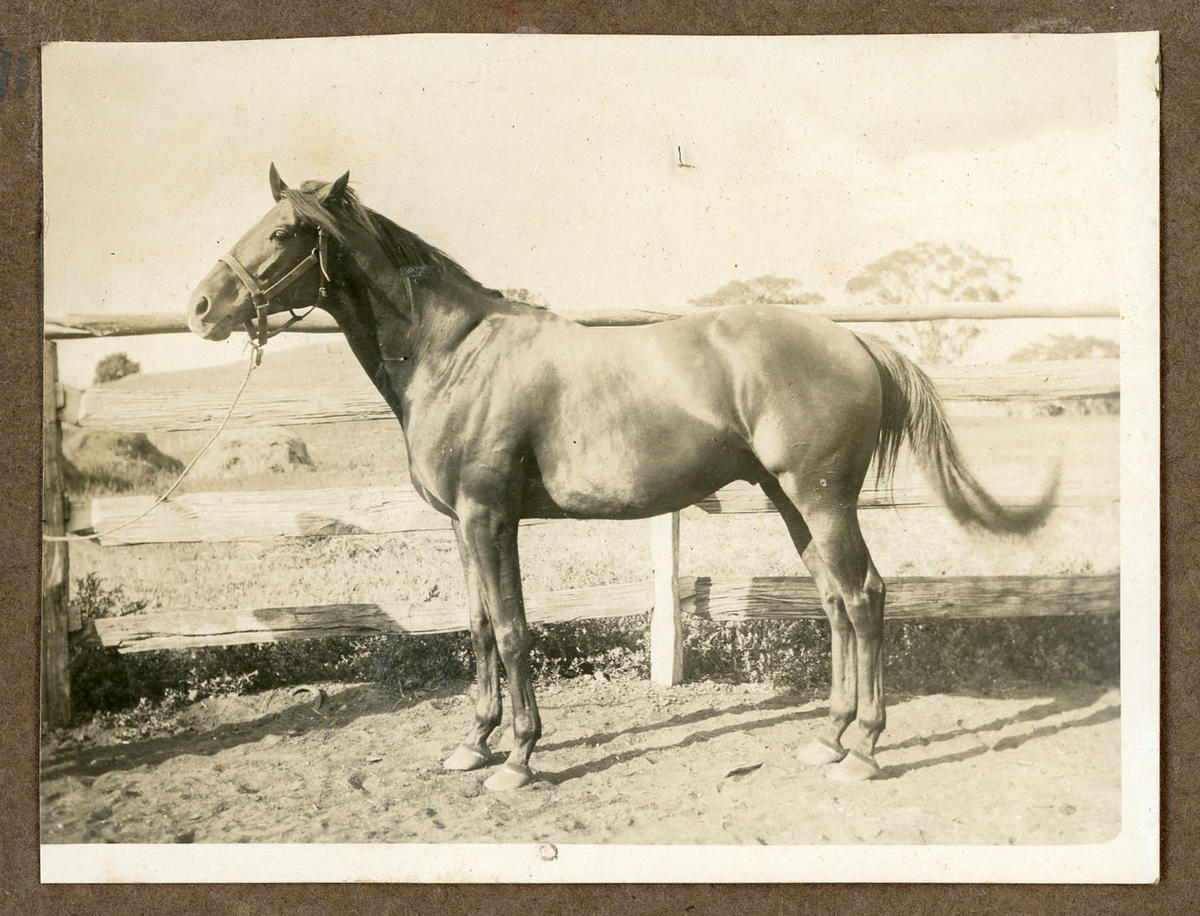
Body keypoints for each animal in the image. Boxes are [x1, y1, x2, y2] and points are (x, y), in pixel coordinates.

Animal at [187, 165, 1056, 790]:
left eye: (285, 231)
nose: (200, 306)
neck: (456, 354)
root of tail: (856, 342)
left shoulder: (490, 518)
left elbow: (513, 630)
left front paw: (518, 759)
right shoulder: (462, 525)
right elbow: (477, 628)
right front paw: (473, 745)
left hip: (823, 502)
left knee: (867, 597)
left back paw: (867, 749)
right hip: (793, 505)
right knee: (838, 603)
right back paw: (828, 737)